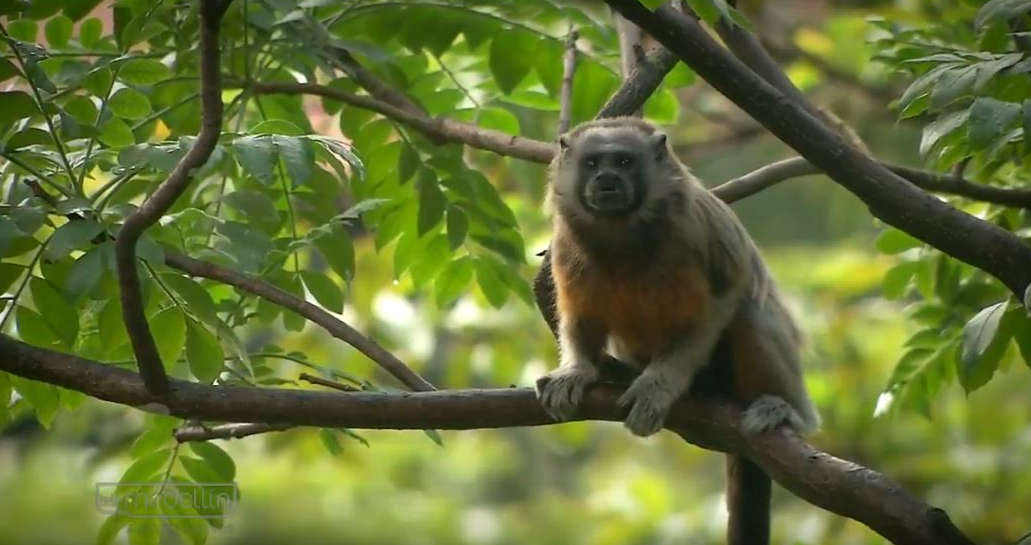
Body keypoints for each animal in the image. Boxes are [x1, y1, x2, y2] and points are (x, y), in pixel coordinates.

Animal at [533, 116, 819, 439]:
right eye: (592, 164)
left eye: (623, 162)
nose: (607, 178)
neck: (621, 229)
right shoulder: (564, 245)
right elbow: (581, 317)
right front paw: (576, 371)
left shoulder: (703, 227)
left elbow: (718, 304)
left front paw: (657, 388)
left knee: (751, 311)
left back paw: (786, 410)